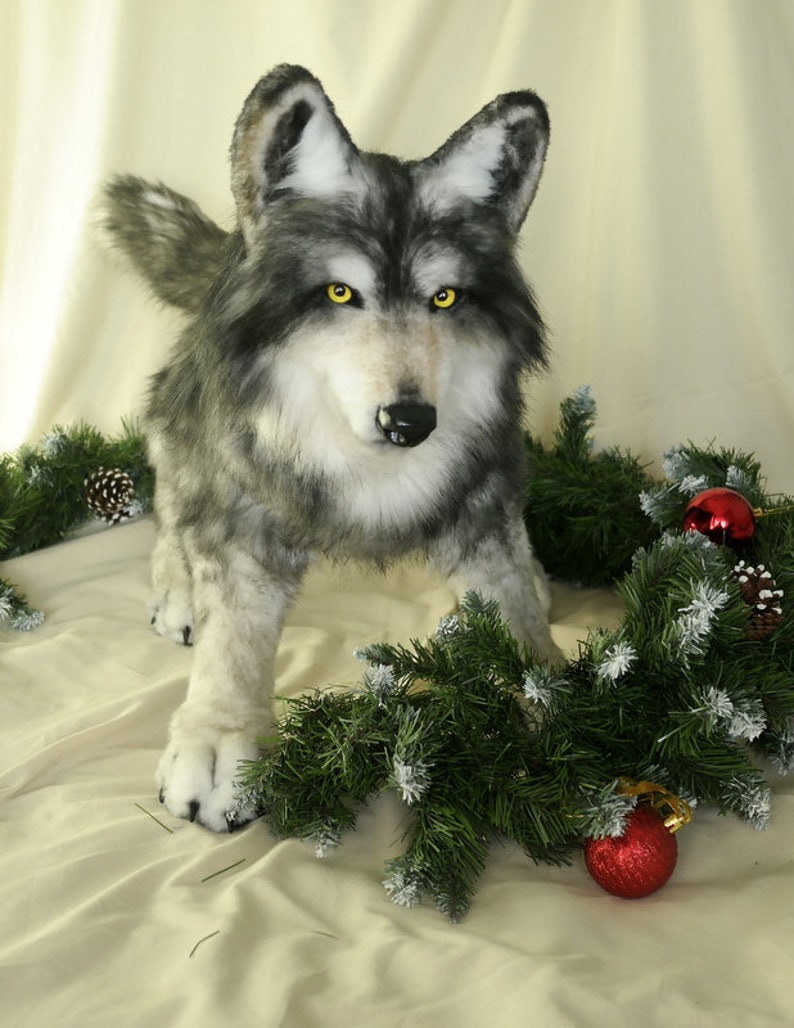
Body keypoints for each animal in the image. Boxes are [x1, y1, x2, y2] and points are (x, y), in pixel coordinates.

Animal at [102, 64, 561, 832]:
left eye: (444, 298)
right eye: (341, 293)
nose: (409, 421)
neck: (367, 475)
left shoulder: (482, 494)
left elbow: (516, 619)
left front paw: (571, 704)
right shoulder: (242, 516)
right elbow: (234, 646)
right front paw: (222, 741)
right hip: (186, 429)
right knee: (171, 500)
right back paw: (179, 590)